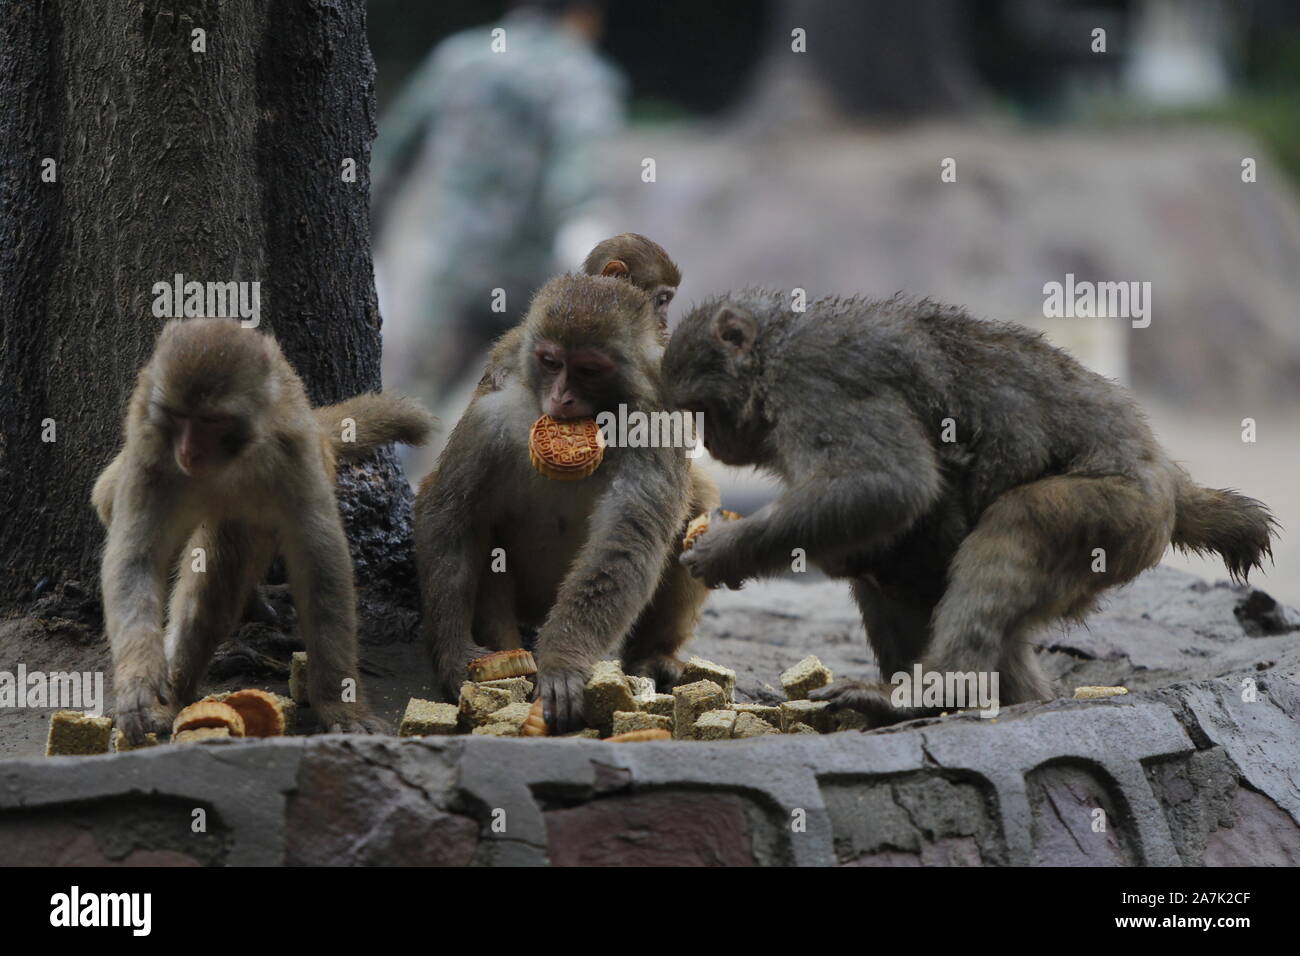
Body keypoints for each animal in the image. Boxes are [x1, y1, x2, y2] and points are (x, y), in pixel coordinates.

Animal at [96, 317, 434, 744]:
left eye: (211, 421)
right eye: (178, 416)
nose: (189, 453)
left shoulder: (293, 450)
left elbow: (320, 563)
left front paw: (339, 703)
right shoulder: (150, 445)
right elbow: (134, 558)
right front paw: (138, 685)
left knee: (217, 576)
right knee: (112, 501)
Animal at [415, 274, 718, 731]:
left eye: (588, 370)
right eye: (552, 363)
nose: (562, 398)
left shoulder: (654, 429)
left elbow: (624, 543)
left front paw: (561, 662)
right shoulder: (489, 421)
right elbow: (452, 517)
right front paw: (455, 654)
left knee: (695, 508)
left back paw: (653, 654)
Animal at [662, 291, 1277, 726]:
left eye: (700, 408)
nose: (708, 441)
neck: (772, 358)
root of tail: (1168, 474)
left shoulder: (818, 377)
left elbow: (890, 485)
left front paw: (725, 551)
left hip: (1122, 514)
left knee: (1020, 522)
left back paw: (934, 692)